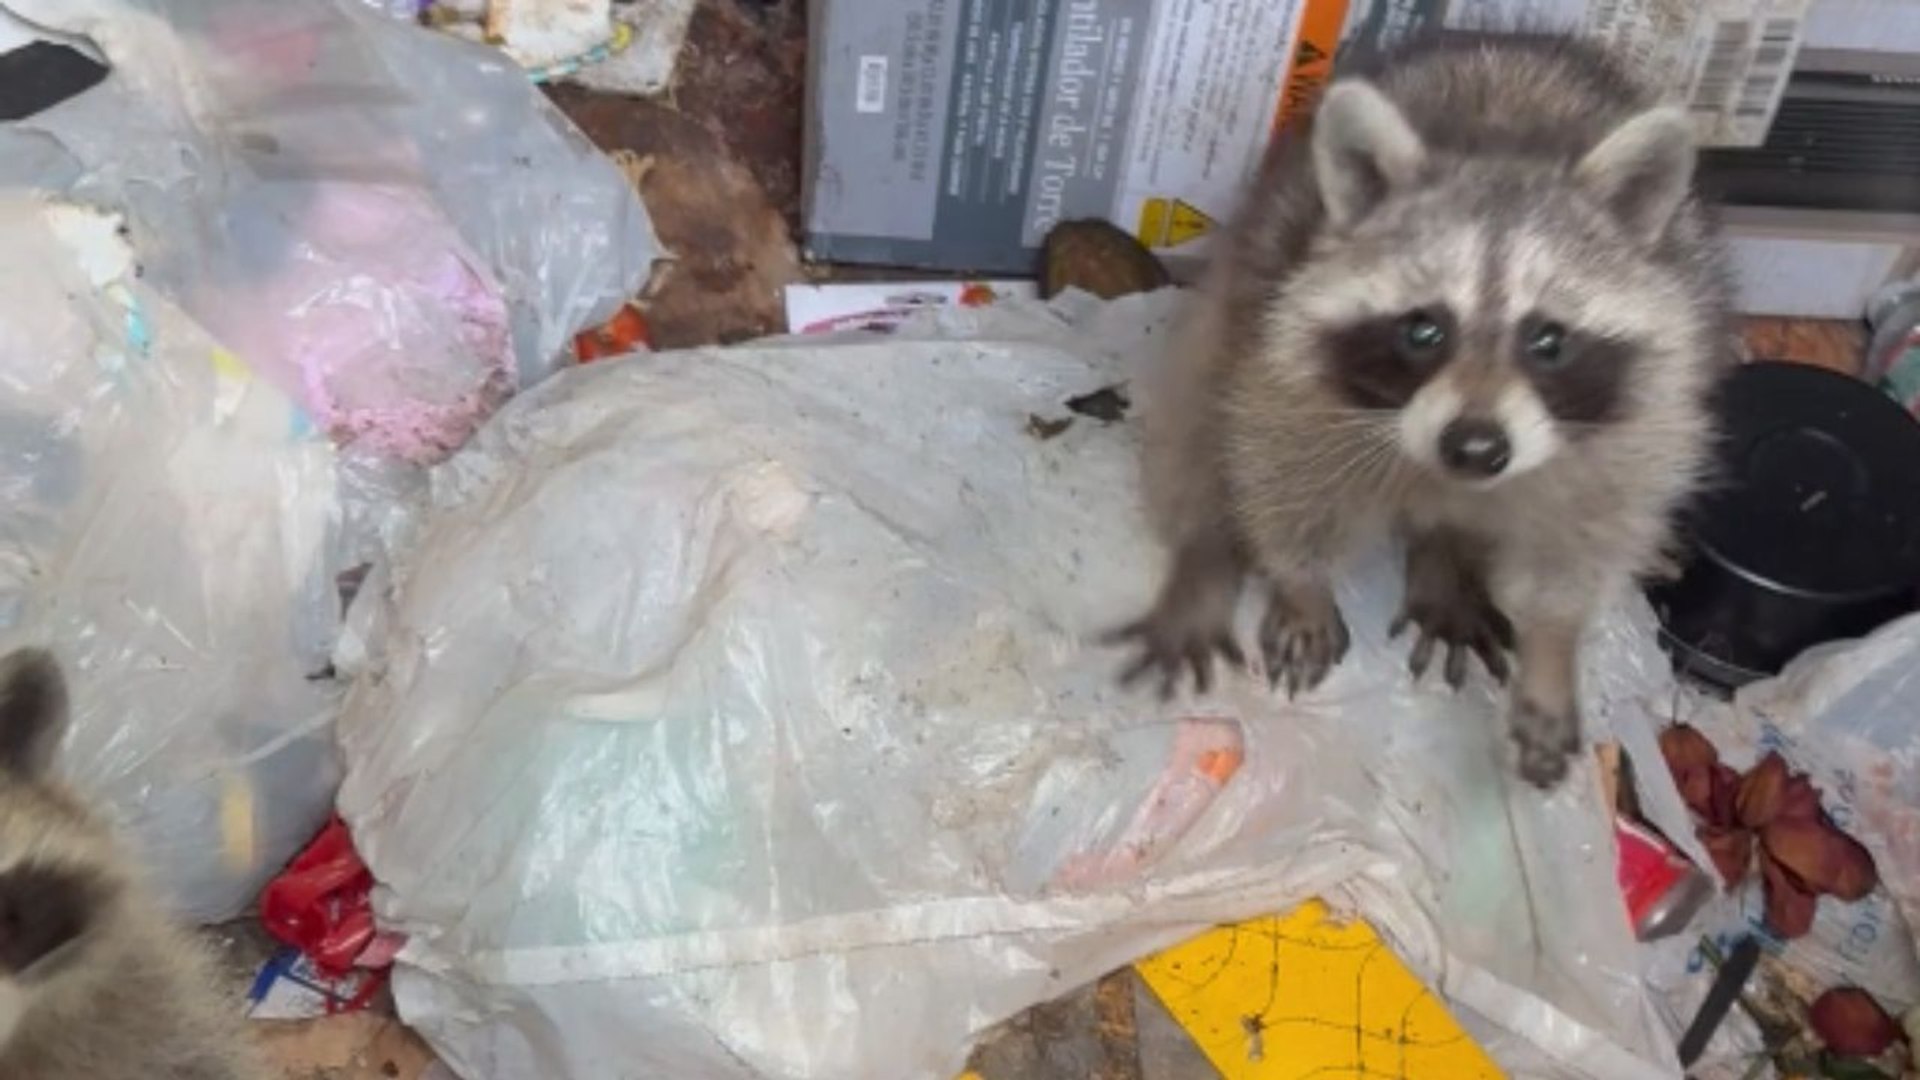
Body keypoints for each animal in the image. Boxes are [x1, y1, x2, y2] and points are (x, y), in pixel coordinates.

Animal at [1113, 37, 1735, 787]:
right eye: (1424, 330)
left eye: (1548, 340)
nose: (1475, 447)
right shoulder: (1286, 357)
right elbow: (1279, 470)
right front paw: (1300, 584)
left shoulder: (1641, 424)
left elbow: (1583, 541)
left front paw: (1554, 648)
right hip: (1236, 286)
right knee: (1199, 417)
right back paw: (1204, 560)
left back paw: (1445, 560)